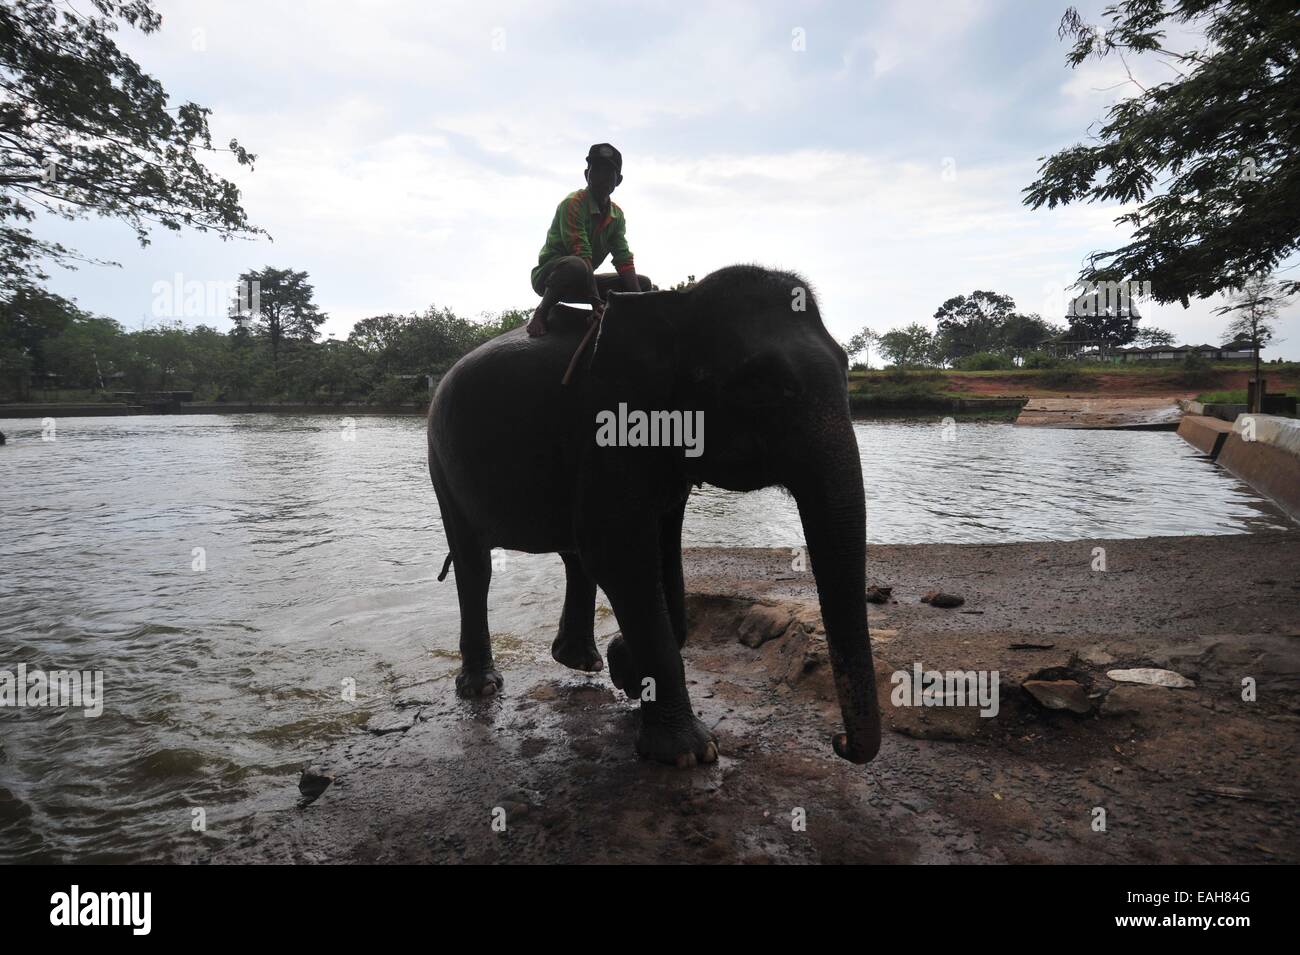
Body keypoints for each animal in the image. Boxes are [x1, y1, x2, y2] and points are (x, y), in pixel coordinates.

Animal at [426, 264, 881, 767]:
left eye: (847, 368)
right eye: (760, 388)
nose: (840, 743)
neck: (676, 307)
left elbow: (660, 547)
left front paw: (626, 668)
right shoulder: (611, 423)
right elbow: (618, 549)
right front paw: (689, 753)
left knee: (574, 555)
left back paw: (580, 661)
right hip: (441, 458)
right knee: (475, 563)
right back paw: (483, 687)